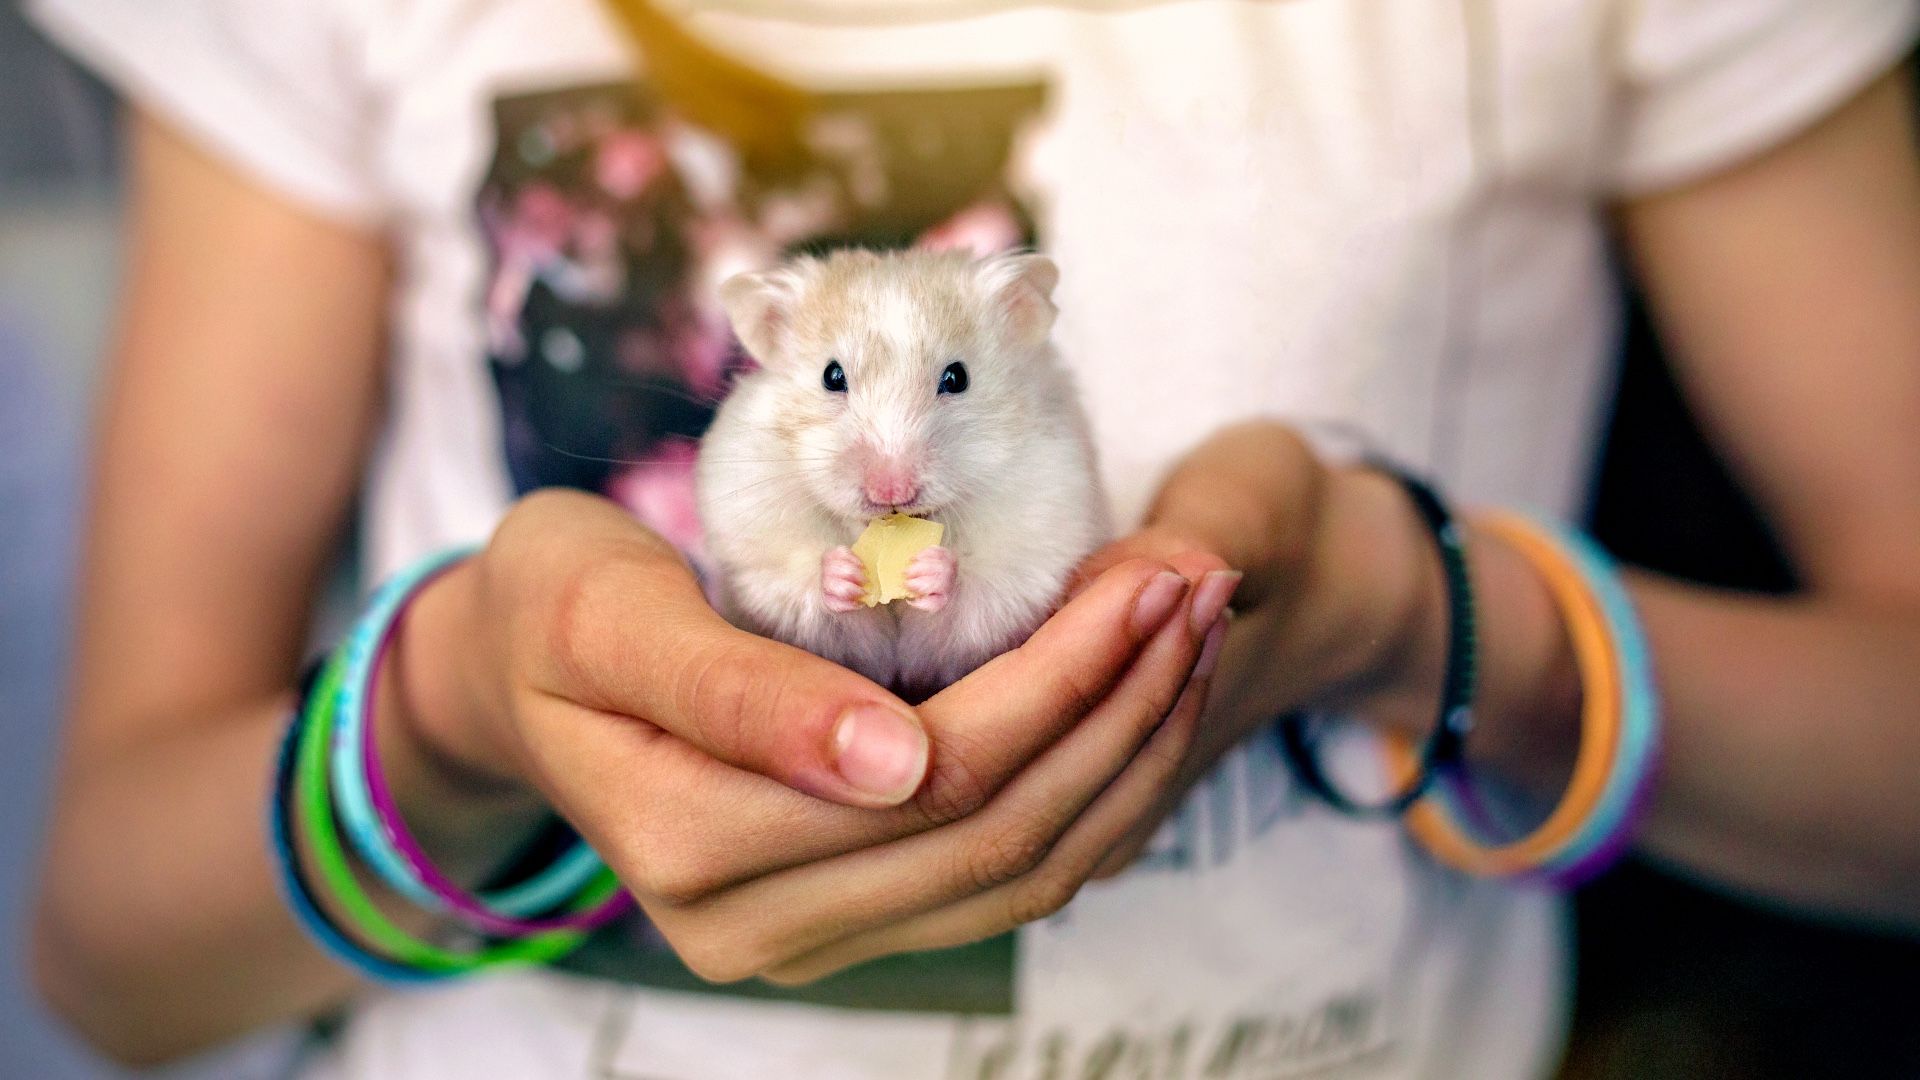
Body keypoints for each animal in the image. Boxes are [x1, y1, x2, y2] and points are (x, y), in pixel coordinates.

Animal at [696, 248, 1112, 697]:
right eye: (831, 376)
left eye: (957, 377)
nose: (891, 491)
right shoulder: (757, 552)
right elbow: (802, 588)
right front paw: (843, 573)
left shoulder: (1035, 546)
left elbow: (978, 592)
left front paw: (930, 572)